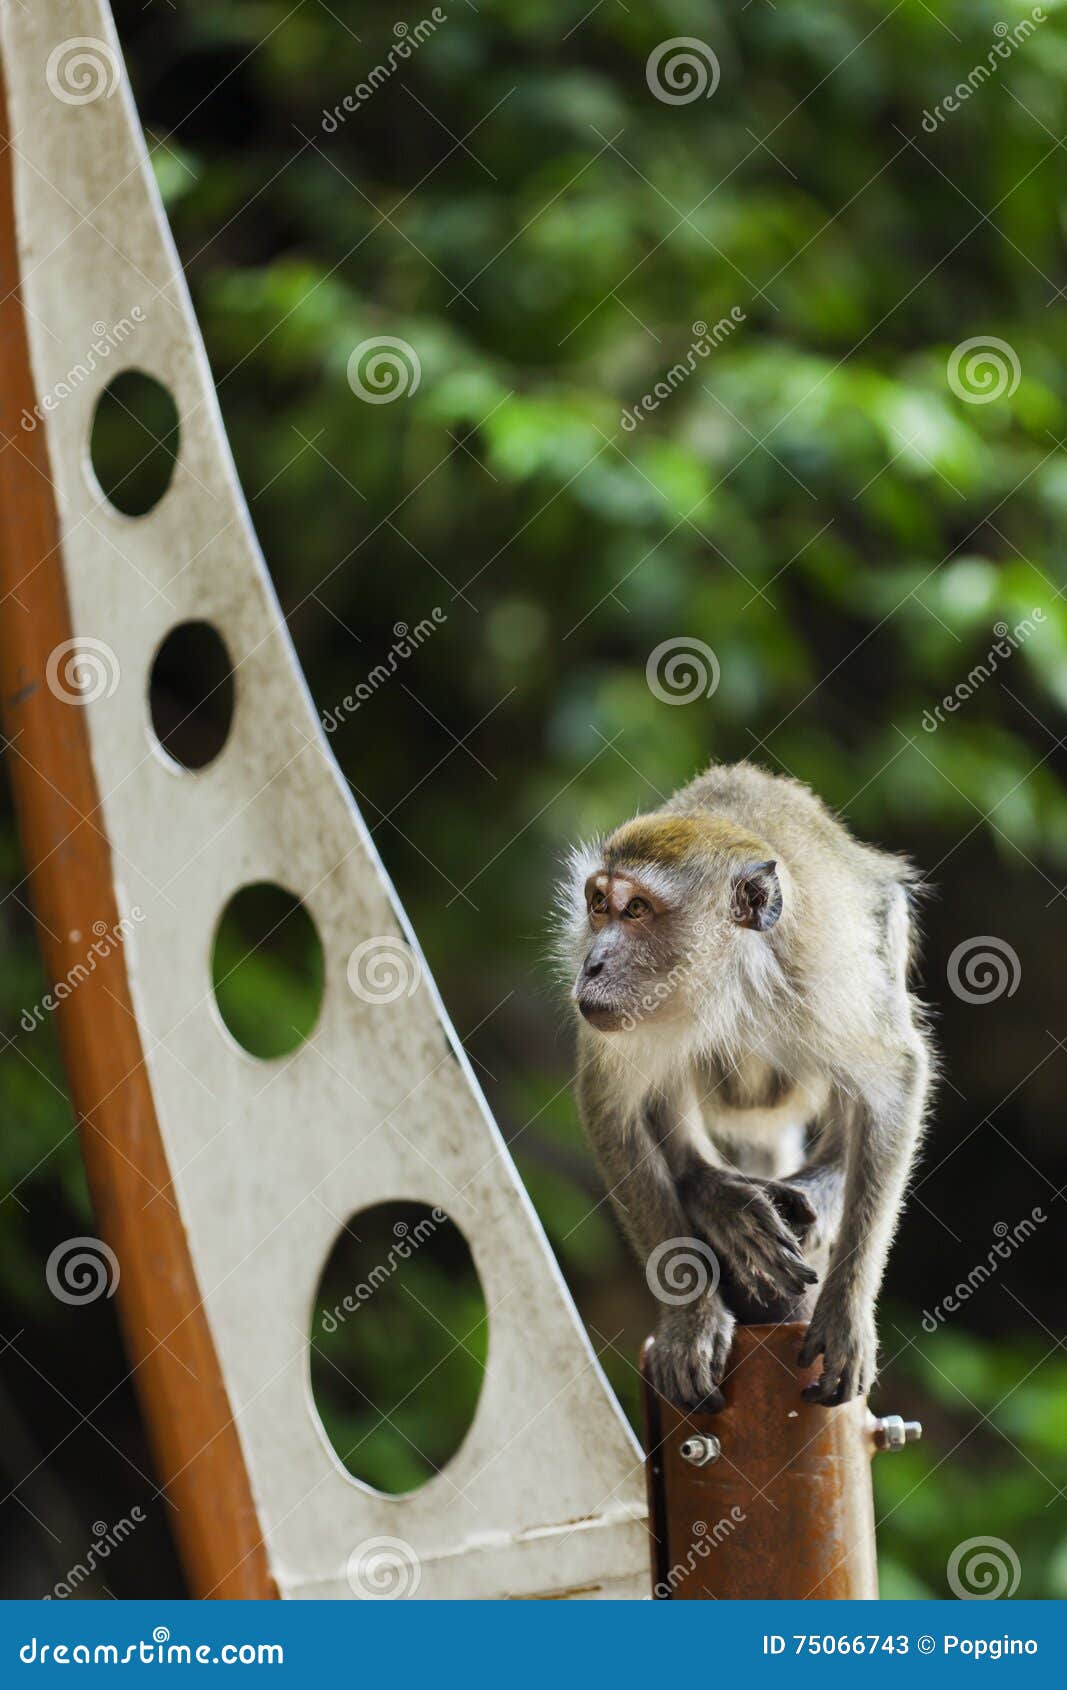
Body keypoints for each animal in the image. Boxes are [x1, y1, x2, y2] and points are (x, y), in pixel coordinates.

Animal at [557, 759, 933, 1411]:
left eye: (637, 910)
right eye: (599, 904)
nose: (592, 964)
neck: (728, 976)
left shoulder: (822, 977)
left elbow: (897, 1076)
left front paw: (847, 1309)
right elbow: (610, 1107)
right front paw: (689, 1317)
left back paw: (823, 1183)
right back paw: (712, 1191)